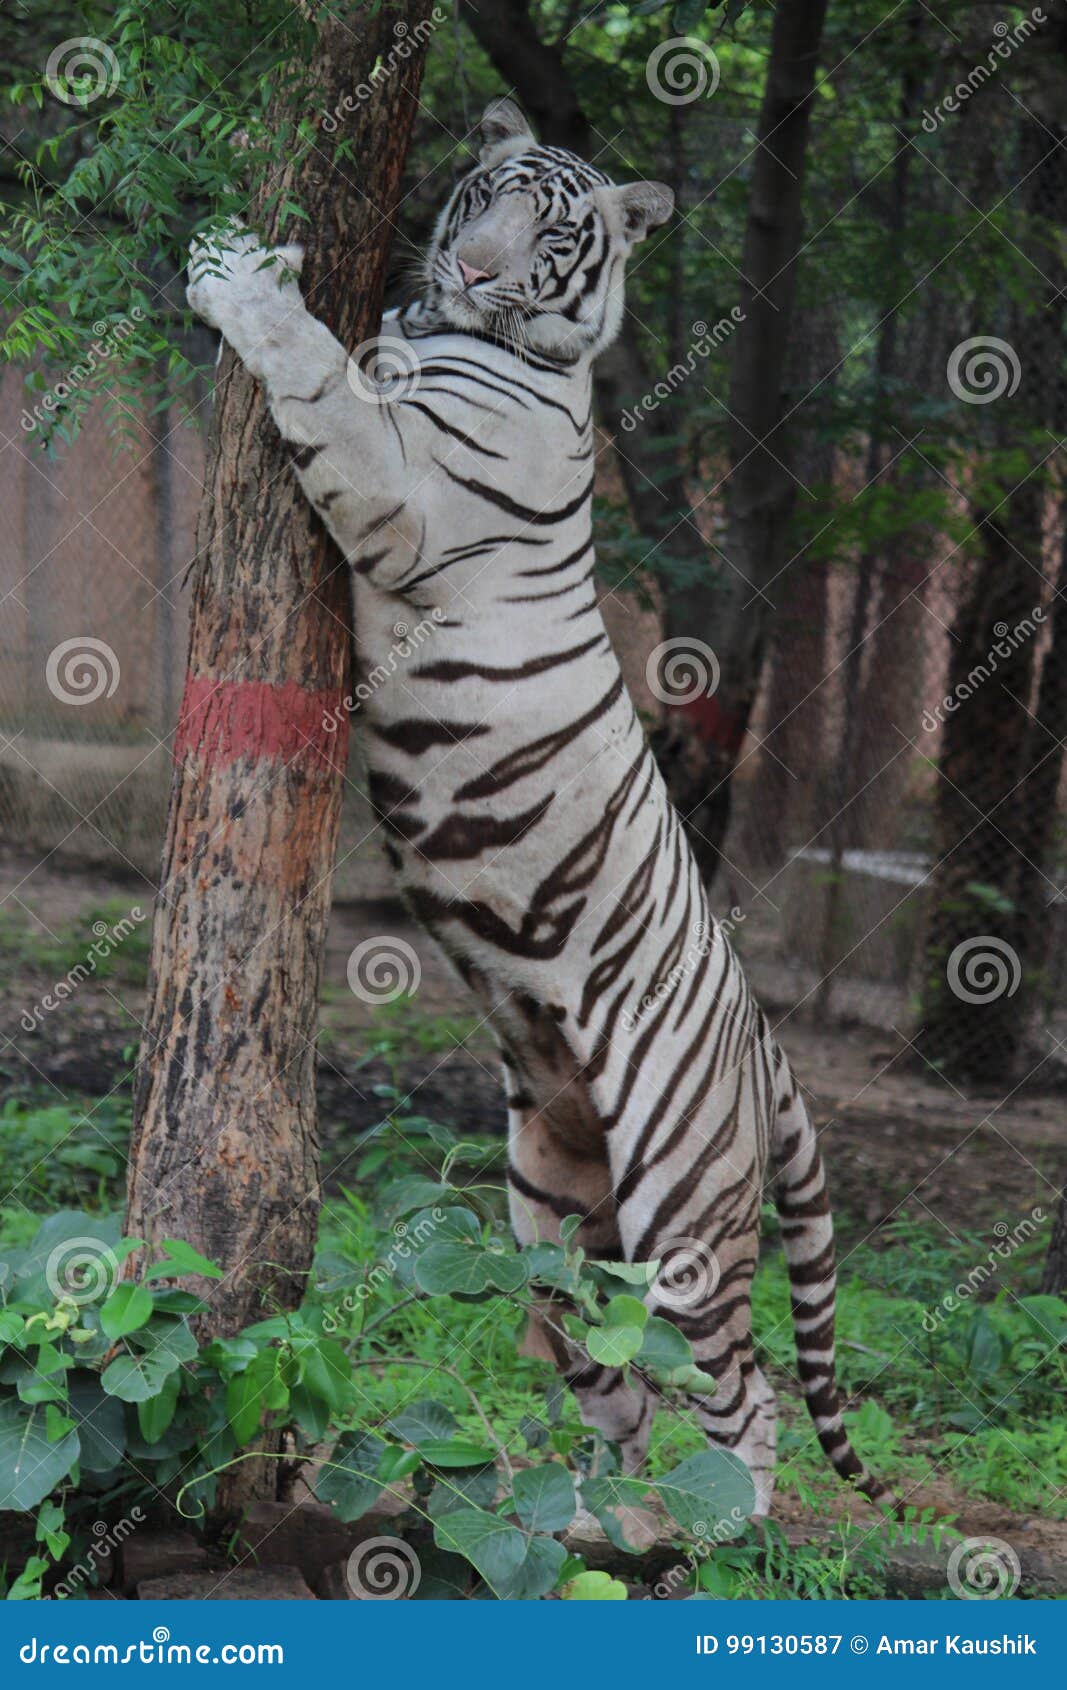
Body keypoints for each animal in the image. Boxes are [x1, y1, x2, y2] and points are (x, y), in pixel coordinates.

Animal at [187, 96, 885, 1518]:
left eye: (554, 234)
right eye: (485, 197)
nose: (475, 270)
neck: (444, 329)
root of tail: (765, 1041)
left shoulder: (394, 482)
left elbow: (313, 367)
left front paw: (237, 273)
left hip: (680, 1201)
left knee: (742, 1396)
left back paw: (713, 1535)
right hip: (550, 1203)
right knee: (603, 1371)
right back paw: (586, 1518)